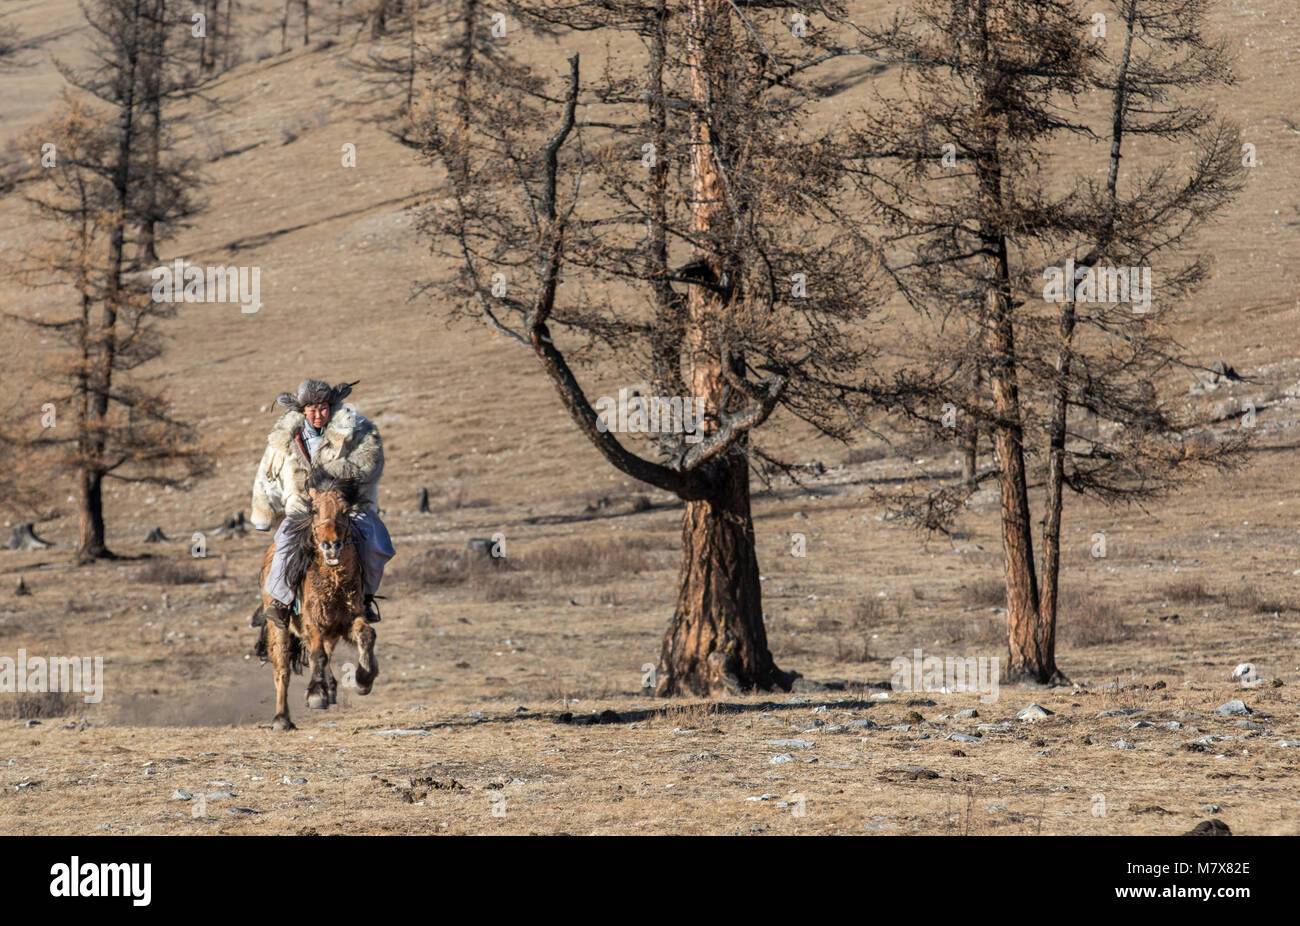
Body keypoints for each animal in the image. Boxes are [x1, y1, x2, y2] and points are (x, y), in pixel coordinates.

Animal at [253, 469, 379, 731]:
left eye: (345, 510)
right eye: (314, 510)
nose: (330, 545)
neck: (333, 584)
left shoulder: (349, 619)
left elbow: (366, 634)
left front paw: (364, 679)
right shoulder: (311, 622)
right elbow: (316, 654)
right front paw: (316, 694)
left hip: (331, 631)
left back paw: (330, 687)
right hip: (278, 628)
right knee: (283, 669)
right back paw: (282, 718)